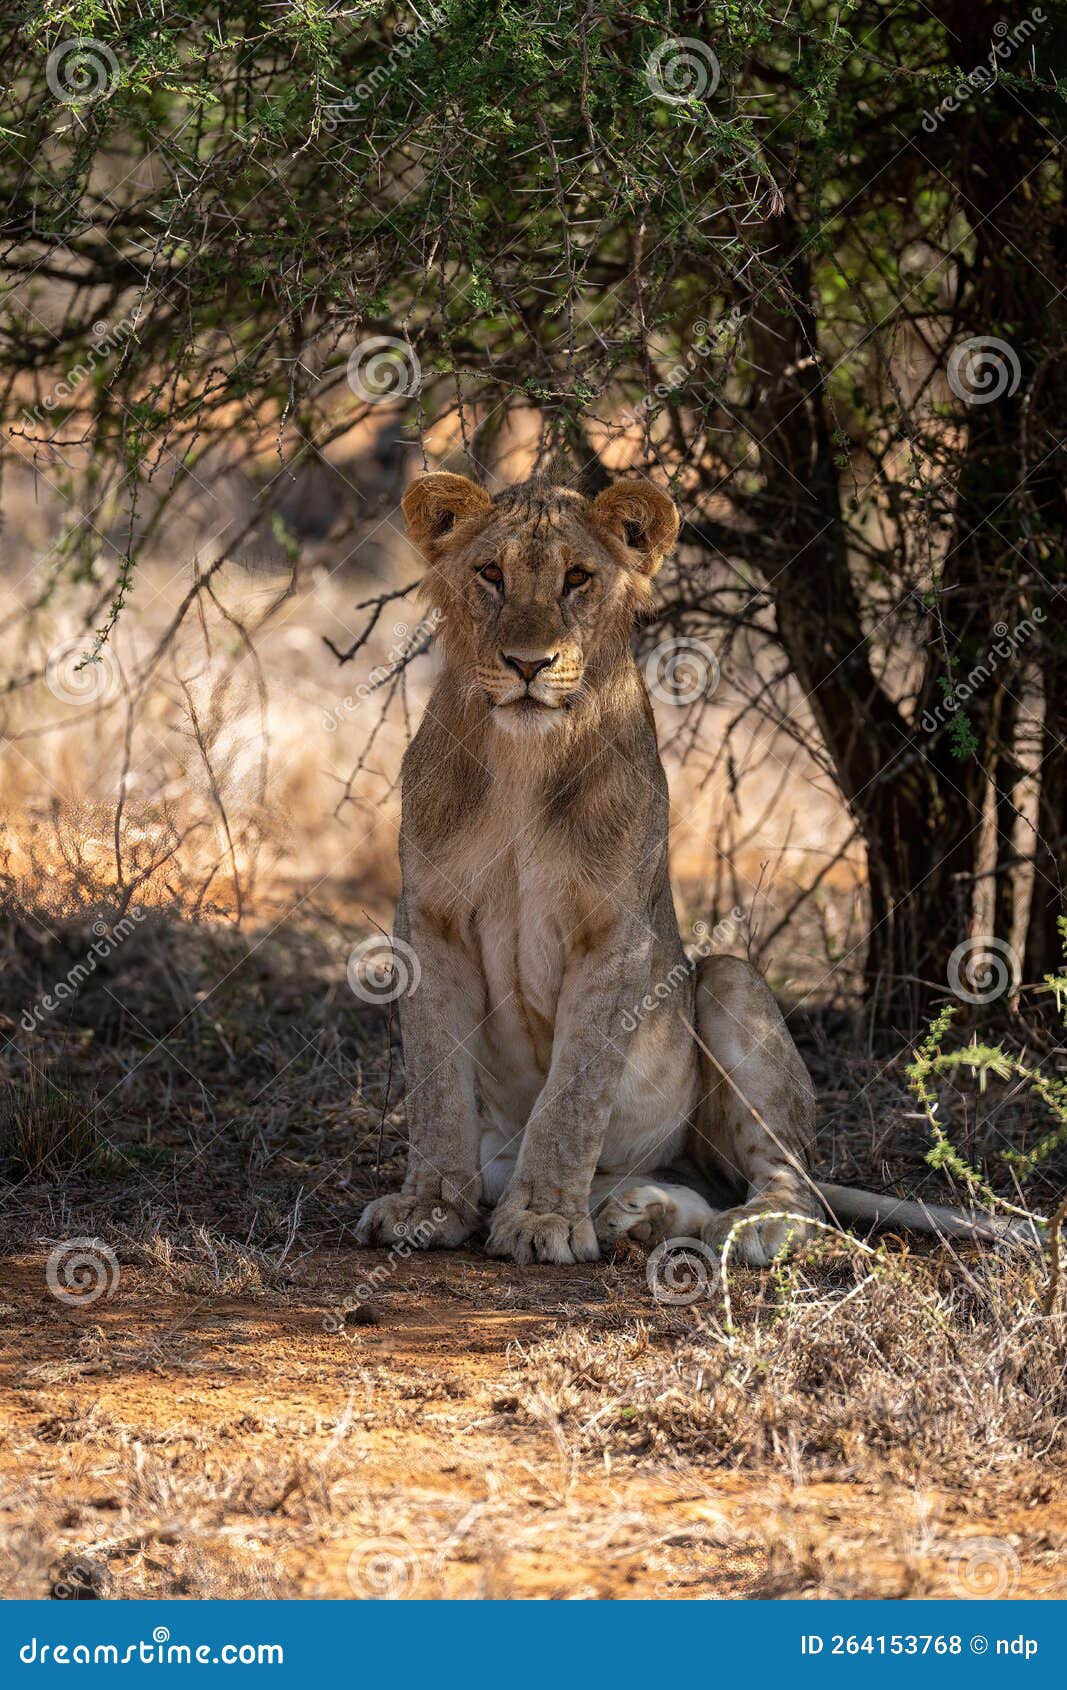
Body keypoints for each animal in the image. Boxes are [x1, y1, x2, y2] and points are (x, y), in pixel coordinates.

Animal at [356, 471, 1030, 1266]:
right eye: (490, 574)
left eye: (577, 578)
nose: (528, 665)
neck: (522, 758)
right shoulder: (428, 922)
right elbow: (436, 1088)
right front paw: (426, 1209)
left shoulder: (615, 933)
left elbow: (573, 1095)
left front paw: (543, 1218)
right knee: (682, 1188)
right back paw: (636, 1215)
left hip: (728, 981)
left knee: (791, 1186)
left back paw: (747, 1227)